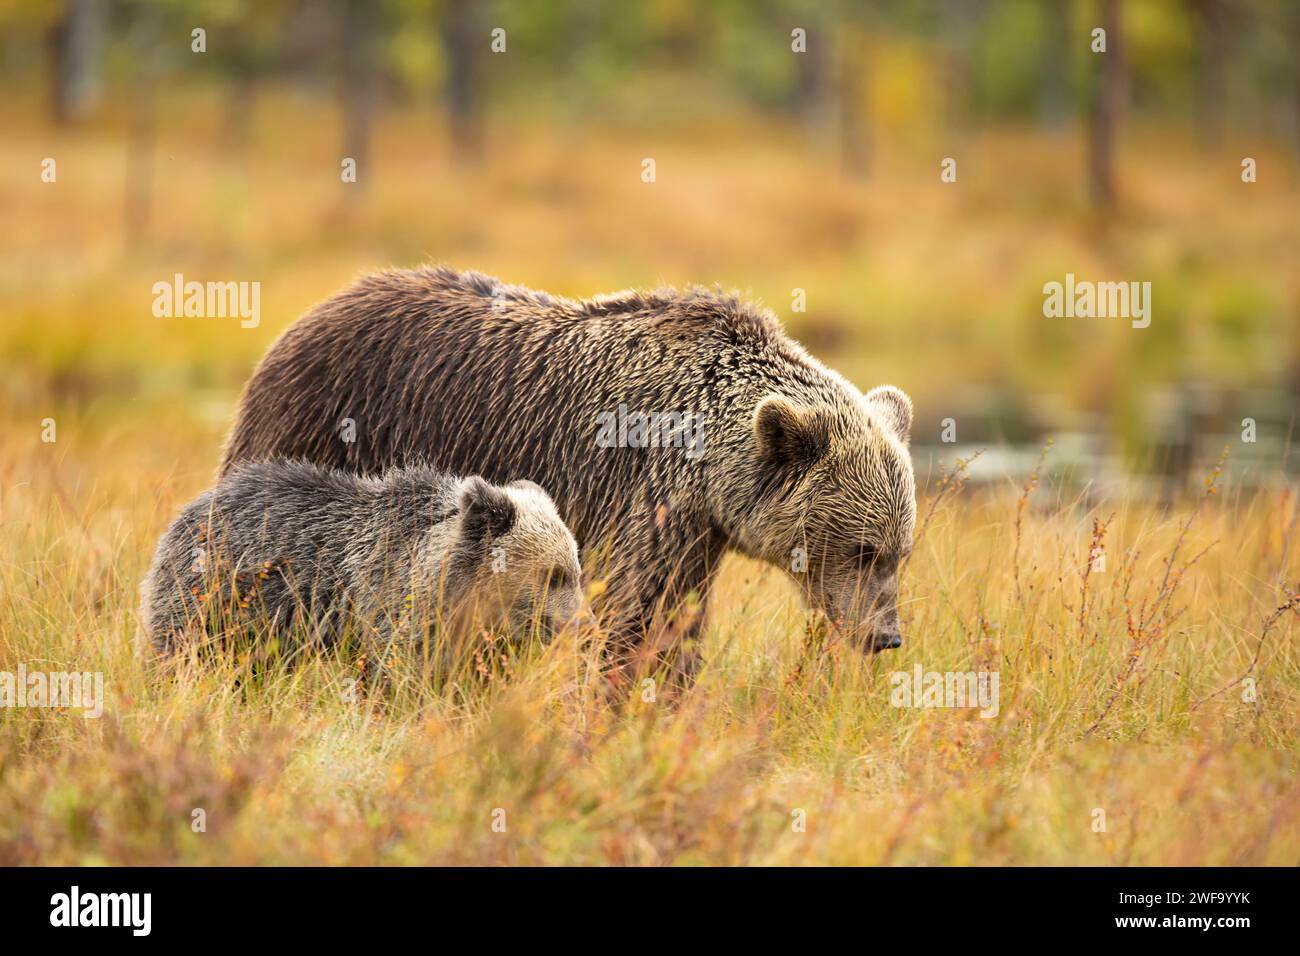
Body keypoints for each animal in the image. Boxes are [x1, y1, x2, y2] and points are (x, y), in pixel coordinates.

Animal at [219, 266, 916, 673]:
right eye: (862, 549)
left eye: (900, 552)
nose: (887, 636)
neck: (711, 465)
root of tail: (307, 315)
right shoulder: (648, 497)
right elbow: (635, 613)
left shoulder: (698, 530)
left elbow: (679, 613)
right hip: (317, 426)